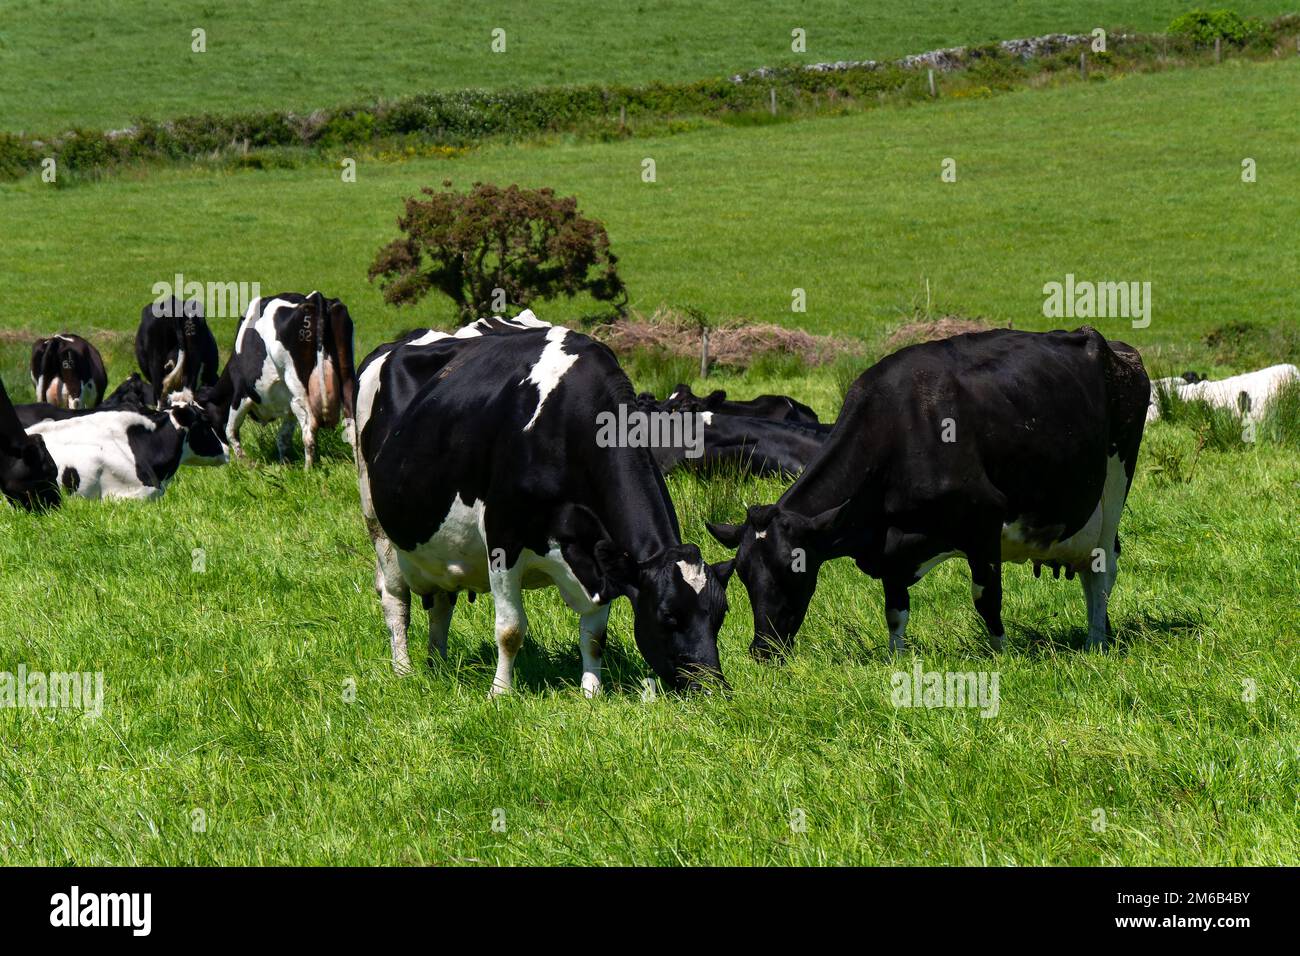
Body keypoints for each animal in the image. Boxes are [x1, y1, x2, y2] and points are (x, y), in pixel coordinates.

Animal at [198, 291, 357, 468]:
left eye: (204, 418)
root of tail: (316, 298)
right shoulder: (289, 406)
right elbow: (283, 438)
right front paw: (284, 465)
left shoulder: (241, 393)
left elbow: (231, 431)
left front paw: (246, 464)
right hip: (346, 377)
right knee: (353, 426)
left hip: (299, 386)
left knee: (309, 430)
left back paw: (308, 469)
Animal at [356, 311, 732, 696]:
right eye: (667, 616)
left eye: (721, 614)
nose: (714, 688)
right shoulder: (503, 537)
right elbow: (509, 629)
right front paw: (500, 692)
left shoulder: (600, 555)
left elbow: (594, 635)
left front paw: (591, 692)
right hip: (376, 520)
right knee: (395, 599)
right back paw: (403, 670)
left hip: (442, 548)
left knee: (443, 602)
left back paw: (439, 665)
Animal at [707, 327, 1149, 658]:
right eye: (742, 573)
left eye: (795, 568)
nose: (763, 650)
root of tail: (1111, 345)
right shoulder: (888, 547)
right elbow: (895, 610)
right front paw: (897, 658)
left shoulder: (984, 521)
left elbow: (987, 596)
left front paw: (1001, 655)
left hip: (1113, 487)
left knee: (1101, 570)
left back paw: (1096, 642)